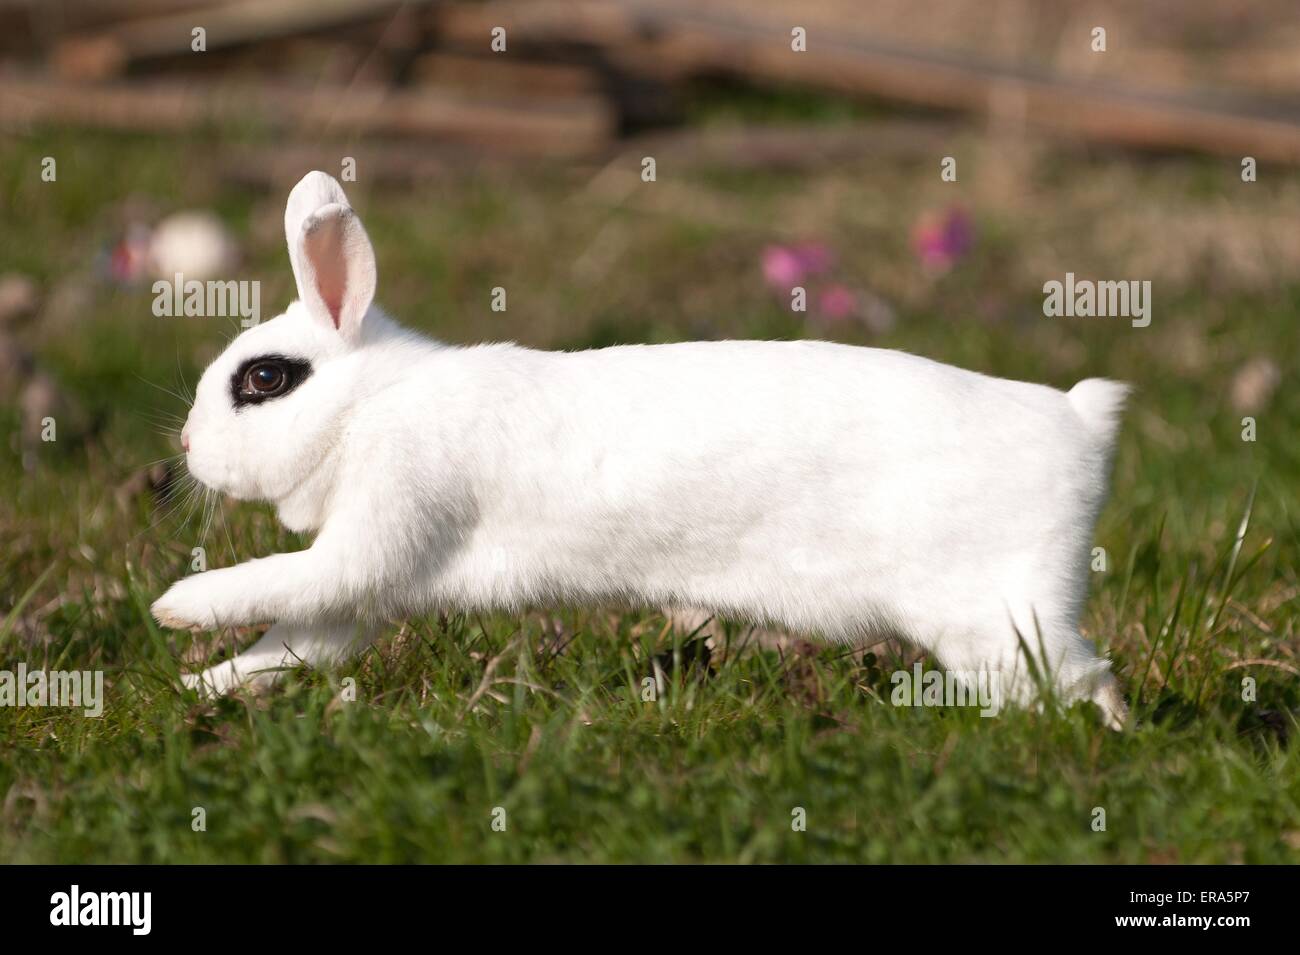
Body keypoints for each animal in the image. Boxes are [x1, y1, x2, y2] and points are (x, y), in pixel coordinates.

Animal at [152, 171, 1129, 728]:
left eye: (266, 378)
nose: (185, 449)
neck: (374, 405)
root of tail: (1079, 423)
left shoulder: (381, 528)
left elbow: (279, 580)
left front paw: (176, 606)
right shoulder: (367, 589)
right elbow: (291, 643)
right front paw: (197, 688)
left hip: (993, 618)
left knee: (1084, 680)